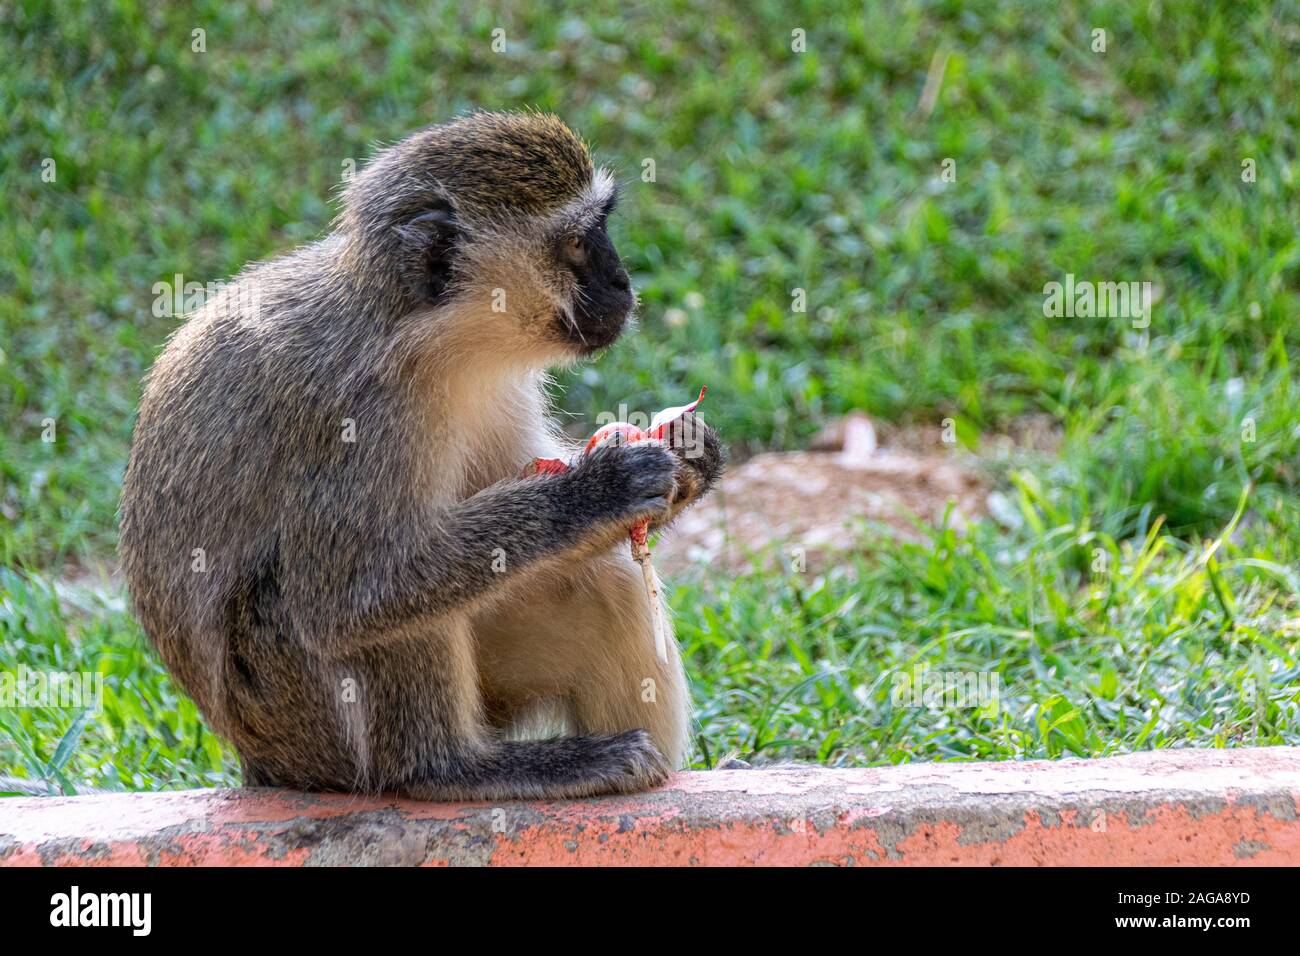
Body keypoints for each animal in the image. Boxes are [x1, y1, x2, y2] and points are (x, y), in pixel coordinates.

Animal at [118, 111, 725, 801]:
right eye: (577, 244)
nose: (625, 283)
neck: (432, 339)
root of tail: (267, 766)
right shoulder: (358, 412)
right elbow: (346, 598)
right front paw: (597, 492)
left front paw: (688, 460)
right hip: (305, 721)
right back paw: (452, 768)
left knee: (604, 578)